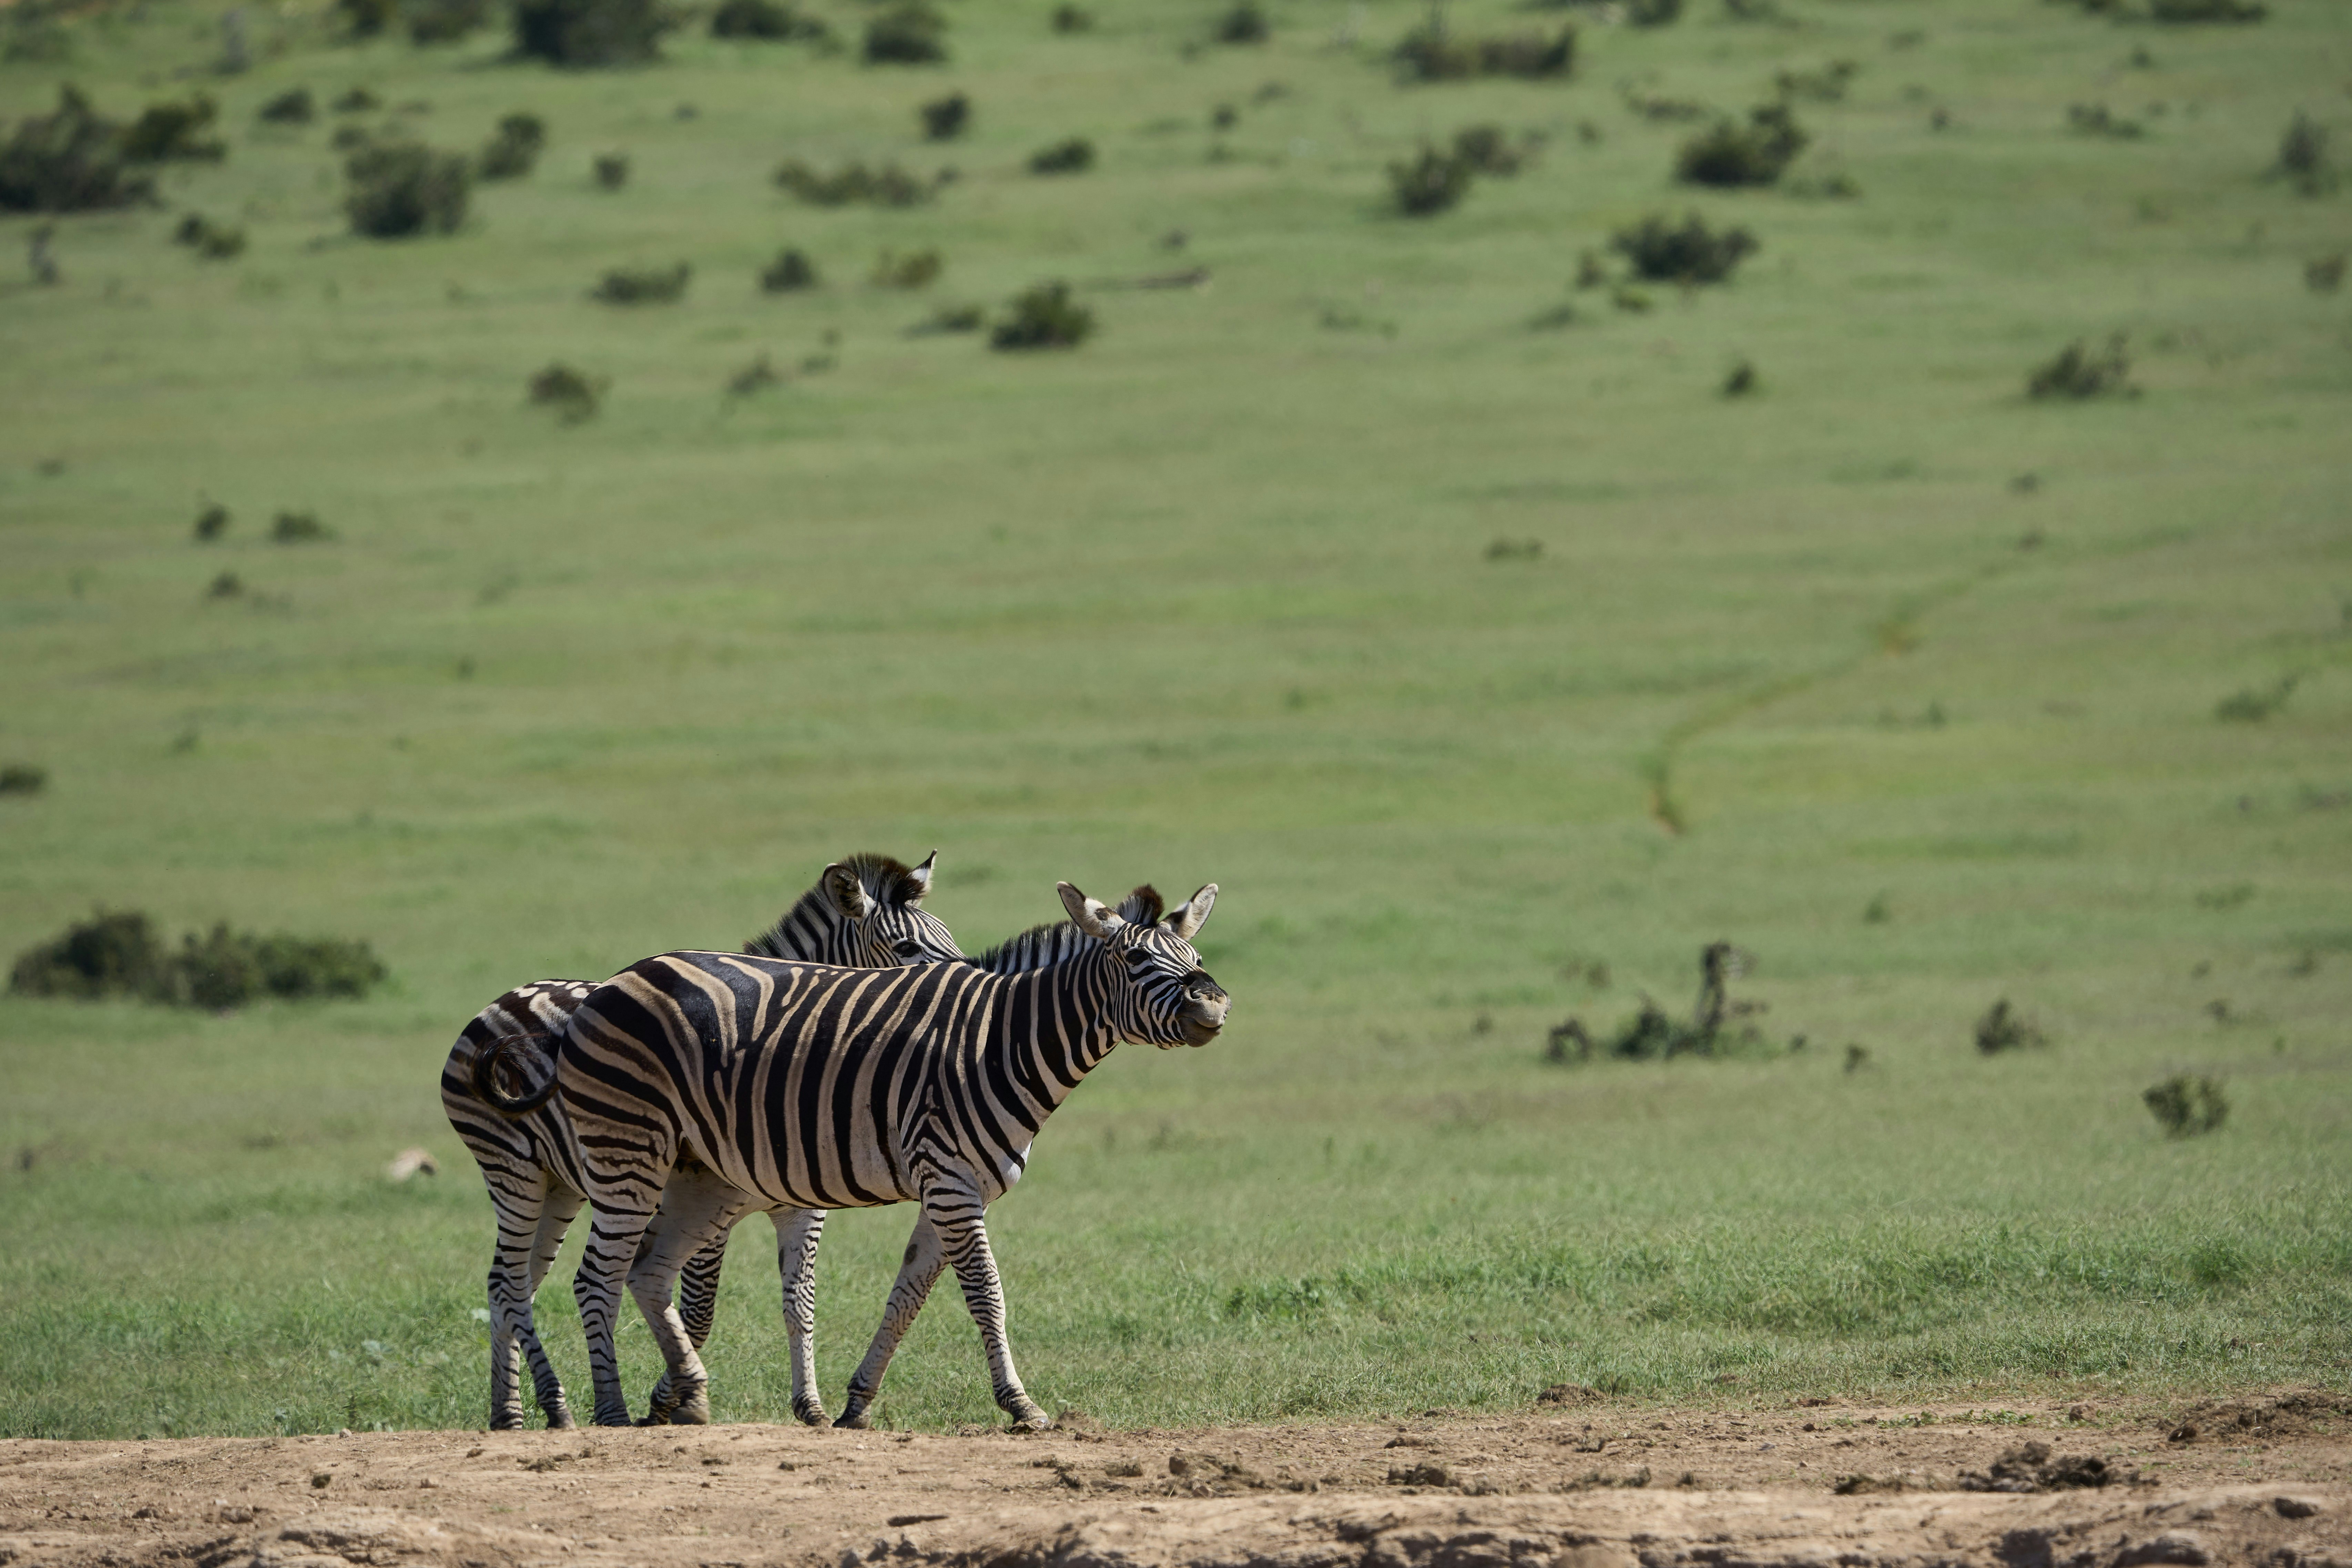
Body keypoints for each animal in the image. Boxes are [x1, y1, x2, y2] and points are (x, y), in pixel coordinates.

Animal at [440, 851, 961, 1431]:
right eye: (907, 948)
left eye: (949, 934)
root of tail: (501, 1000)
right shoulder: (708, 1204)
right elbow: (699, 1307)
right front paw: (675, 1400)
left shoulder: (803, 1208)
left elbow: (800, 1302)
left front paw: (810, 1405)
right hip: (514, 1171)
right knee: (510, 1284)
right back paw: (541, 1405)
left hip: (561, 1187)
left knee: (510, 1284)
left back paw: (513, 1410)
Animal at [473, 878, 1225, 1430]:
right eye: (1136, 960)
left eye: (1192, 959)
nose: (1213, 1006)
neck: (1000, 1041)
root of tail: (608, 985)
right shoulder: (949, 1180)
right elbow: (987, 1295)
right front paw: (1021, 1405)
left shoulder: (955, 1189)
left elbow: (906, 1296)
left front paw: (856, 1403)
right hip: (618, 1154)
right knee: (591, 1279)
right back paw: (607, 1411)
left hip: (692, 1178)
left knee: (639, 1274)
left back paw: (672, 1392)